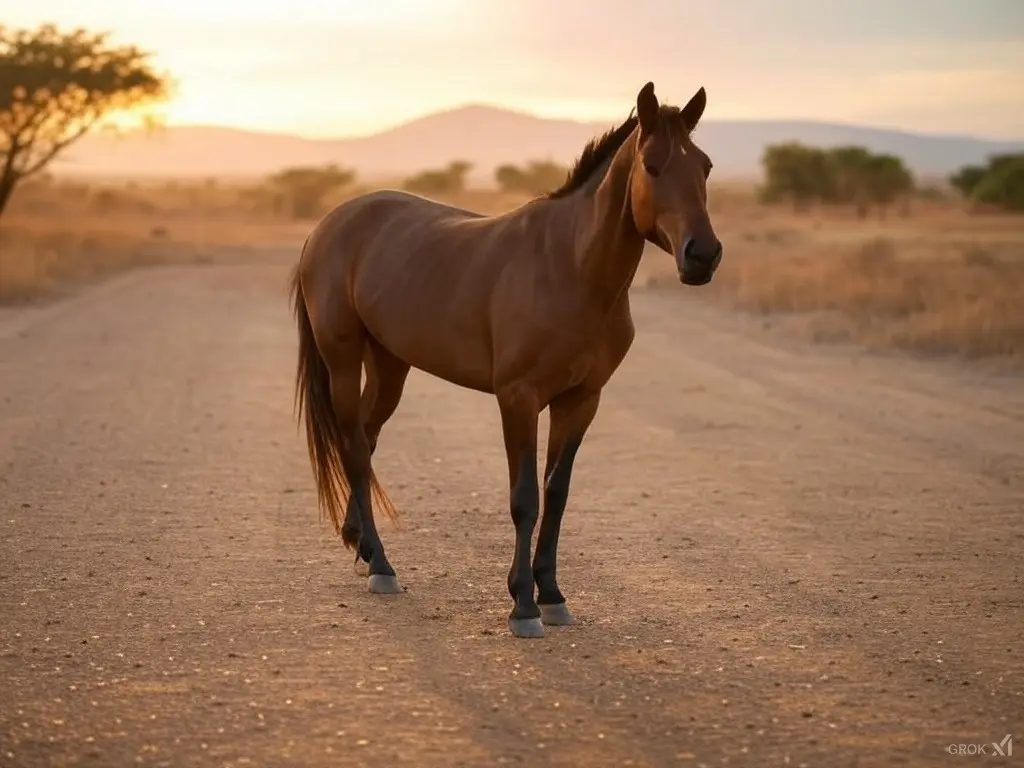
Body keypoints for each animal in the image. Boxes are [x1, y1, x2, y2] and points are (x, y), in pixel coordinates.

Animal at [289, 81, 722, 638]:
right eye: (652, 165)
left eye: (704, 166)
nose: (702, 256)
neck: (570, 268)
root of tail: (329, 224)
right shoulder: (518, 399)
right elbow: (525, 499)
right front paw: (523, 605)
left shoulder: (581, 401)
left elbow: (556, 495)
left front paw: (553, 595)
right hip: (343, 360)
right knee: (358, 448)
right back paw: (383, 566)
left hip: (390, 366)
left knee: (364, 436)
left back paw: (361, 544)